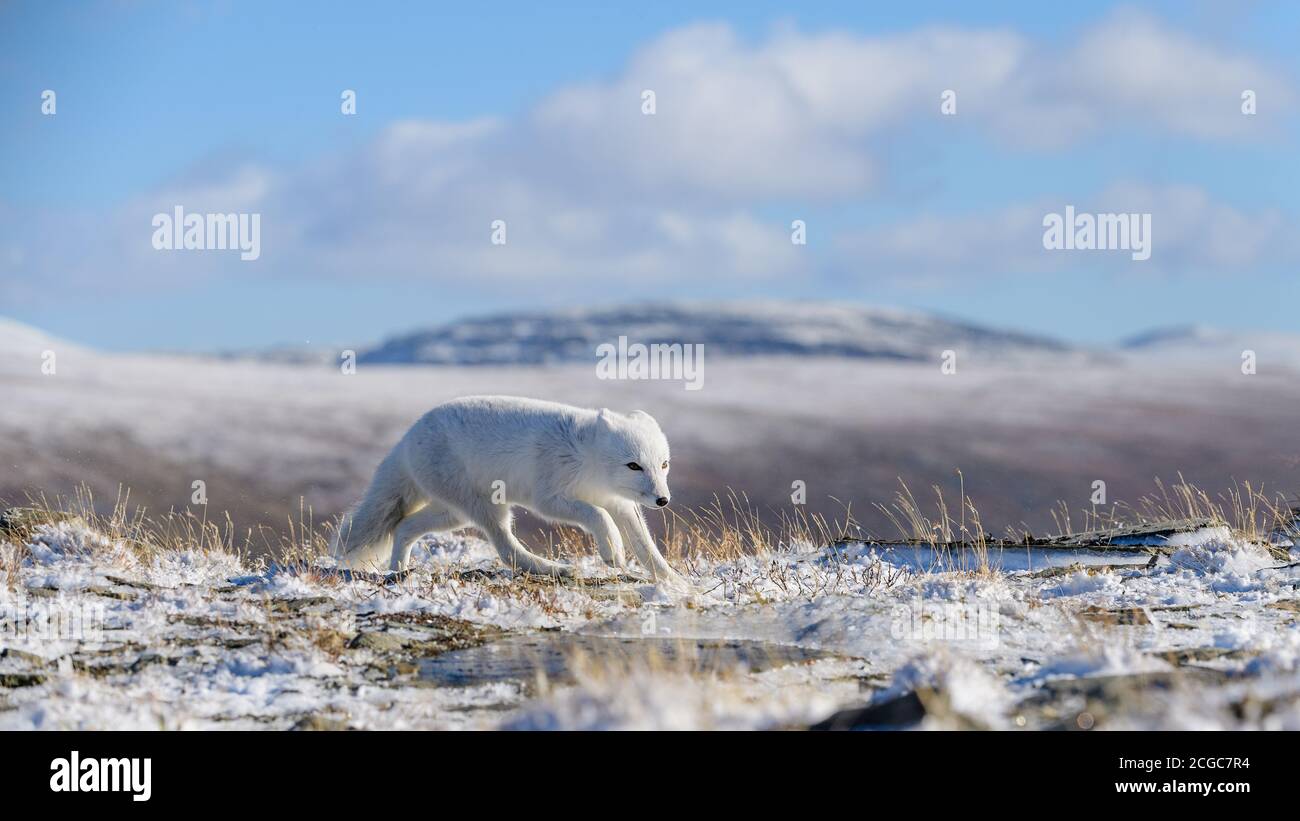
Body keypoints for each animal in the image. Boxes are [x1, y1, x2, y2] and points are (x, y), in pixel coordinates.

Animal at [330, 396, 689, 589]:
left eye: (664, 464)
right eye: (633, 465)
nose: (663, 500)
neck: (587, 461)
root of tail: (406, 439)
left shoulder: (621, 503)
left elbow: (645, 545)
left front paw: (673, 580)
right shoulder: (549, 499)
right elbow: (597, 515)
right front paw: (612, 551)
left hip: (454, 514)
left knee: (403, 526)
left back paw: (398, 569)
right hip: (486, 508)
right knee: (506, 550)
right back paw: (555, 569)